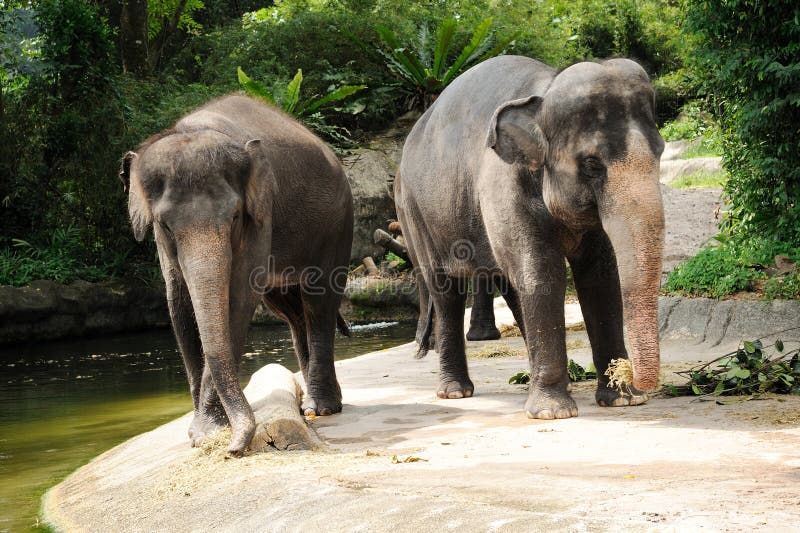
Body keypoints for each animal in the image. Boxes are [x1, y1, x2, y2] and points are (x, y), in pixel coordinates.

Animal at [120, 94, 353, 454]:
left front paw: (207, 433)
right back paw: (312, 403)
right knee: (291, 310)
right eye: (165, 225)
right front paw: (203, 431)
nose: (233, 449)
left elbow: (239, 296)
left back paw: (322, 408)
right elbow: (179, 304)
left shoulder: (260, 212)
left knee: (319, 302)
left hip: (338, 225)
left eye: (233, 217)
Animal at [395, 55, 665, 419]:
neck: (544, 92)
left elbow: (600, 276)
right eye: (592, 165)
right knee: (446, 290)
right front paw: (553, 413)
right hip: (416, 213)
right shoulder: (505, 183)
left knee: (510, 283)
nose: (637, 382)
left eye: (660, 151)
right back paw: (455, 391)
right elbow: (542, 272)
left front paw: (622, 398)